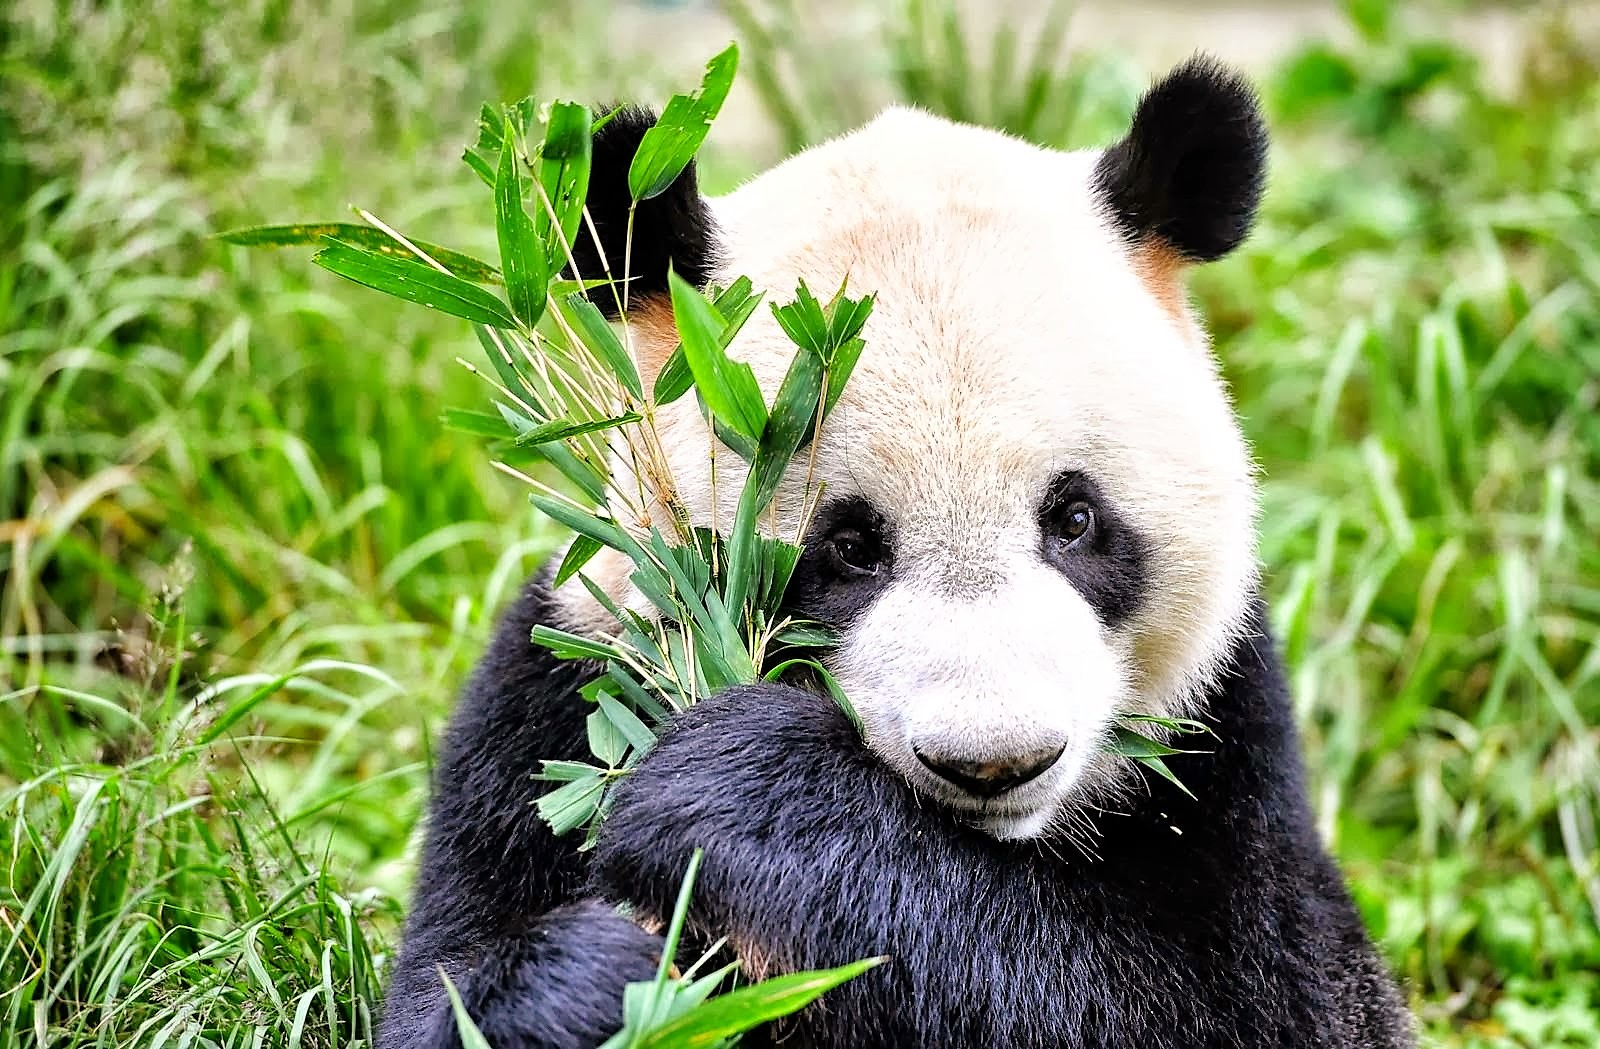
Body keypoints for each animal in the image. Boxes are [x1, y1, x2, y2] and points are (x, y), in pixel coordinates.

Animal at [379, 57, 1416, 1049]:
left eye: (1075, 520)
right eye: (846, 548)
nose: (997, 761)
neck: (977, 853)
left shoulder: (1224, 740)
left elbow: (1249, 1002)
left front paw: (739, 797)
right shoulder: (559, 707)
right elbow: (436, 985)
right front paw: (607, 976)